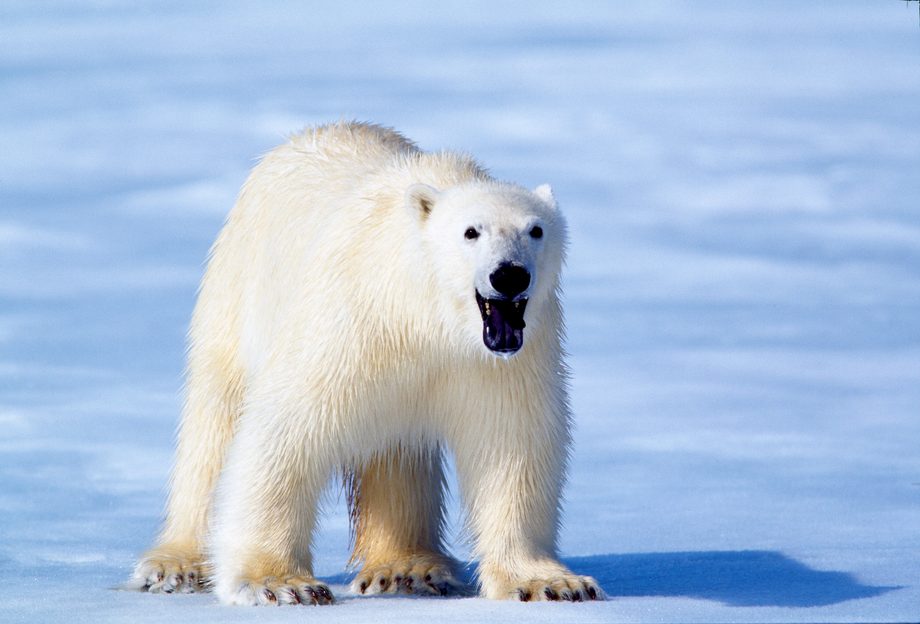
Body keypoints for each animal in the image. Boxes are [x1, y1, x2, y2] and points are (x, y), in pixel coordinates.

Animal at [130, 121, 604, 605]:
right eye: (471, 231)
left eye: (536, 230)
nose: (509, 274)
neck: (426, 315)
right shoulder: (352, 322)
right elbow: (286, 430)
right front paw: (280, 583)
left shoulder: (506, 360)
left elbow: (512, 445)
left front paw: (549, 583)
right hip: (235, 288)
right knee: (215, 420)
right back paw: (177, 564)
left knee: (398, 450)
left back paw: (406, 569)